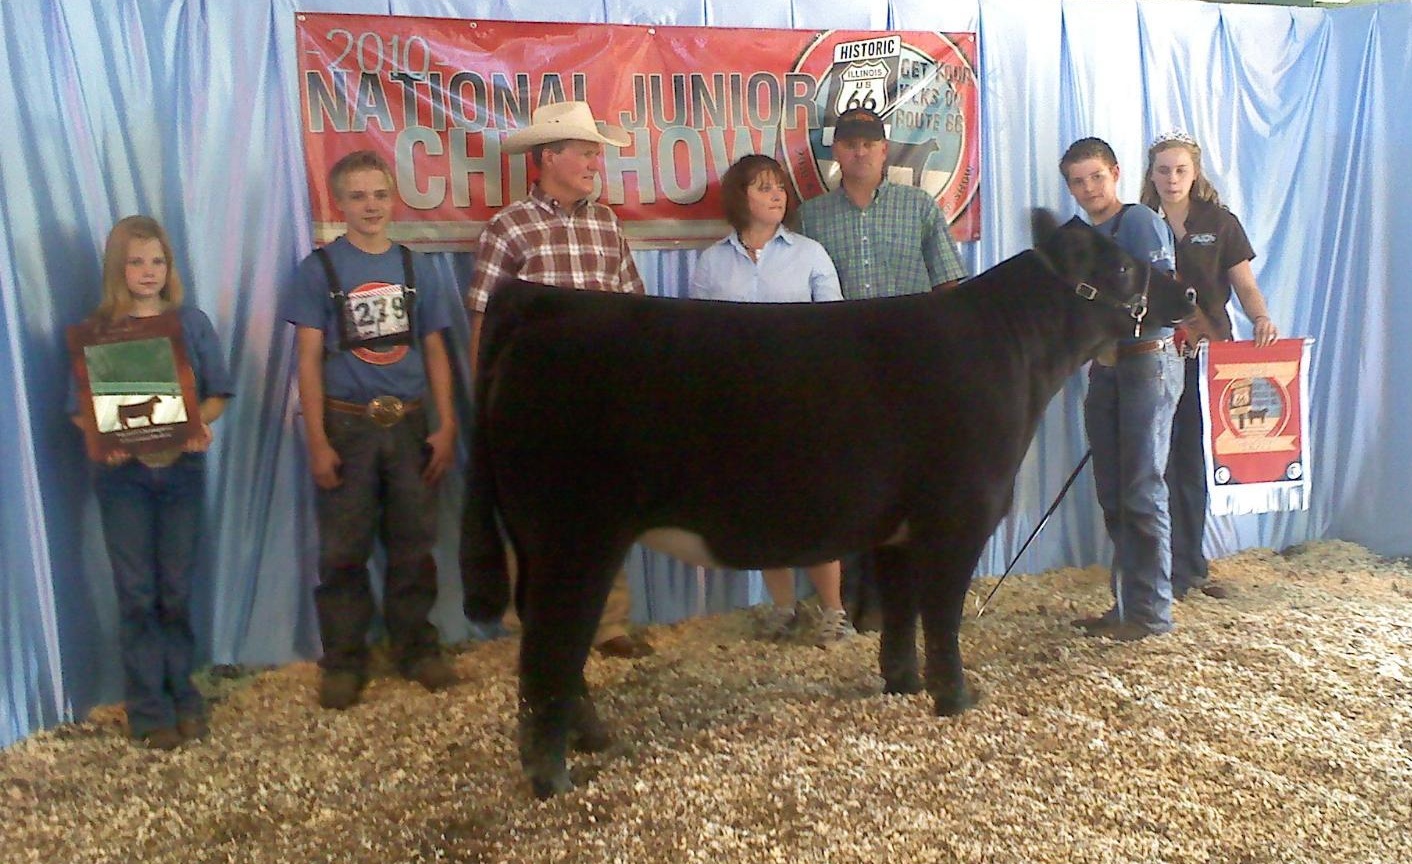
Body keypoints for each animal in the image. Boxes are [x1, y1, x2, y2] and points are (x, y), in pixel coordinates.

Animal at [463, 210, 1197, 798]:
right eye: (1123, 265)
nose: (1186, 291)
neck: (1011, 350)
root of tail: (540, 302)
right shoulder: (961, 513)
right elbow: (943, 613)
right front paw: (956, 697)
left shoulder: (898, 525)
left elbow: (900, 610)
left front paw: (902, 683)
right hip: (575, 537)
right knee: (550, 649)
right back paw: (552, 777)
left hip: (542, 544)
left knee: (550, 648)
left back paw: (590, 737)